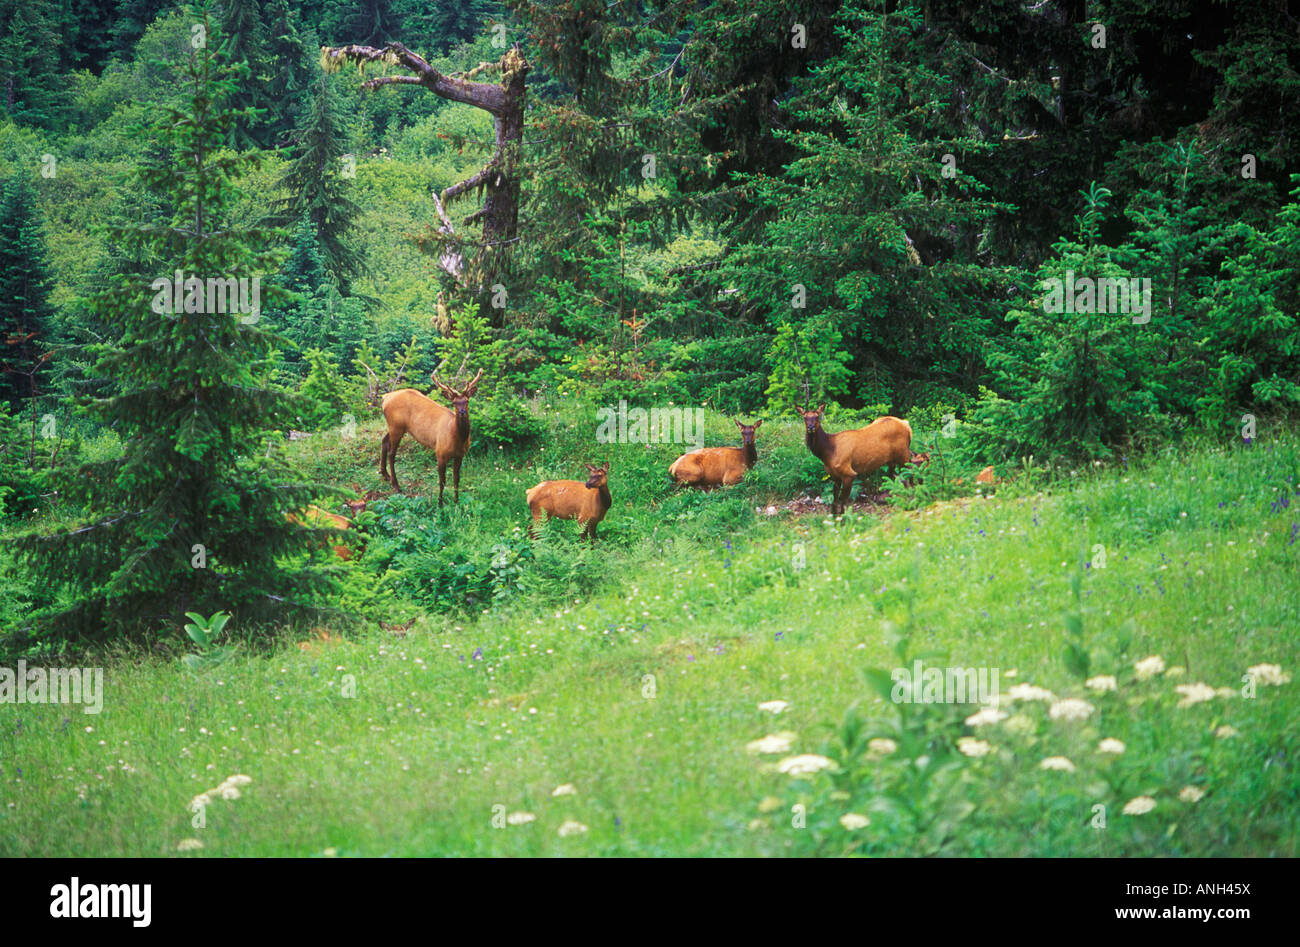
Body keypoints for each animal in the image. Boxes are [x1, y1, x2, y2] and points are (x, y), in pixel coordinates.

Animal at [379, 364, 483, 503]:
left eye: (467, 401)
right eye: (454, 402)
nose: (462, 412)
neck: (457, 439)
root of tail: (385, 397)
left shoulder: (460, 455)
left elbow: (456, 479)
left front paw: (456, 501)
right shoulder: (440, 453)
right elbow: (442, 481)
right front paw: (440, 502)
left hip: (394, 426)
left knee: (384, 441)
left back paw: (385, 475)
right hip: (396, 426)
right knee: (392, 453)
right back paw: (396, 485)